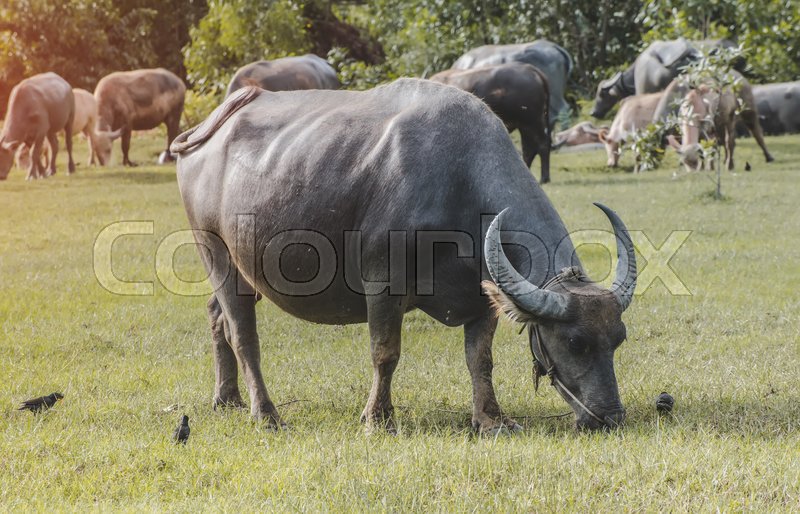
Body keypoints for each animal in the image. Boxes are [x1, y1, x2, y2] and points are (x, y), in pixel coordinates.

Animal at [170, 80, 638, 433]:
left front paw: (492, 419)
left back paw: (226, 398)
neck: (457, 180)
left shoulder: (484, 296)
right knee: (242, 334)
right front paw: (378, 419)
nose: (610, 417)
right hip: (215, 252)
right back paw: (266, 415)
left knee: (216, 317)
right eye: (574, 342)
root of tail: (209, 129)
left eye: (618, 339)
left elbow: (480, 359)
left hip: (245, 268)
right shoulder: (383, 283)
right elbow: (385, 353)